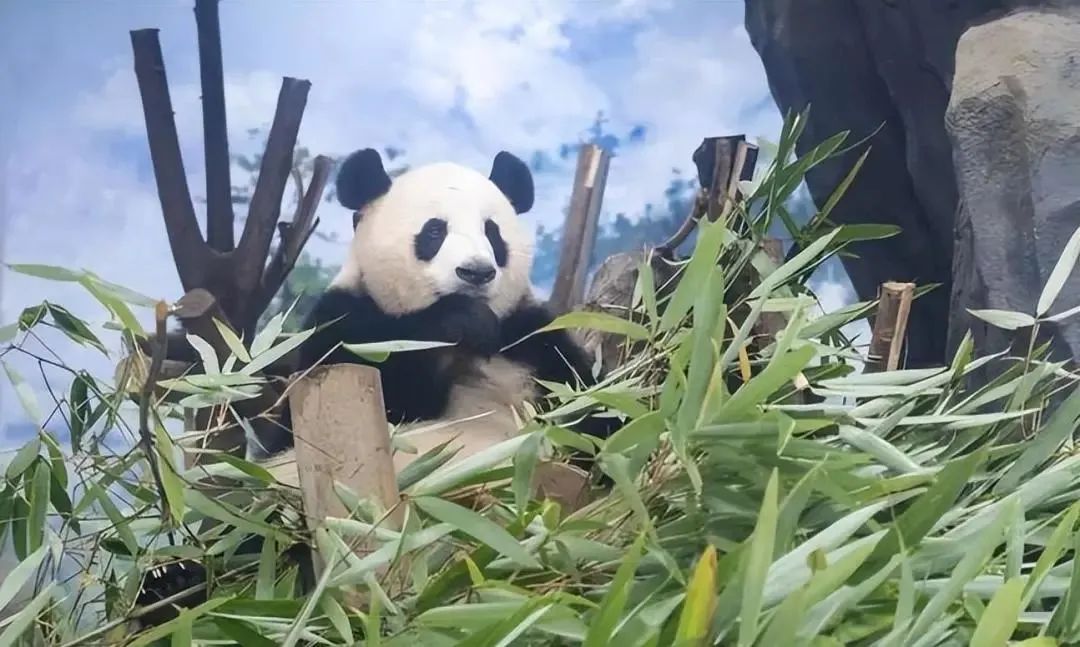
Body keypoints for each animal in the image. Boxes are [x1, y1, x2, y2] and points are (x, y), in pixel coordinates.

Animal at [131, 148, 620, 628]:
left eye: (492, 233)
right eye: (434, 231)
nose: (476, 272)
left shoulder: (535, 344)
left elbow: (594, 420)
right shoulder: (343, 333)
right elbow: (386, 387)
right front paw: (457, 321)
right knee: (252, 540)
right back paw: (171, 587)